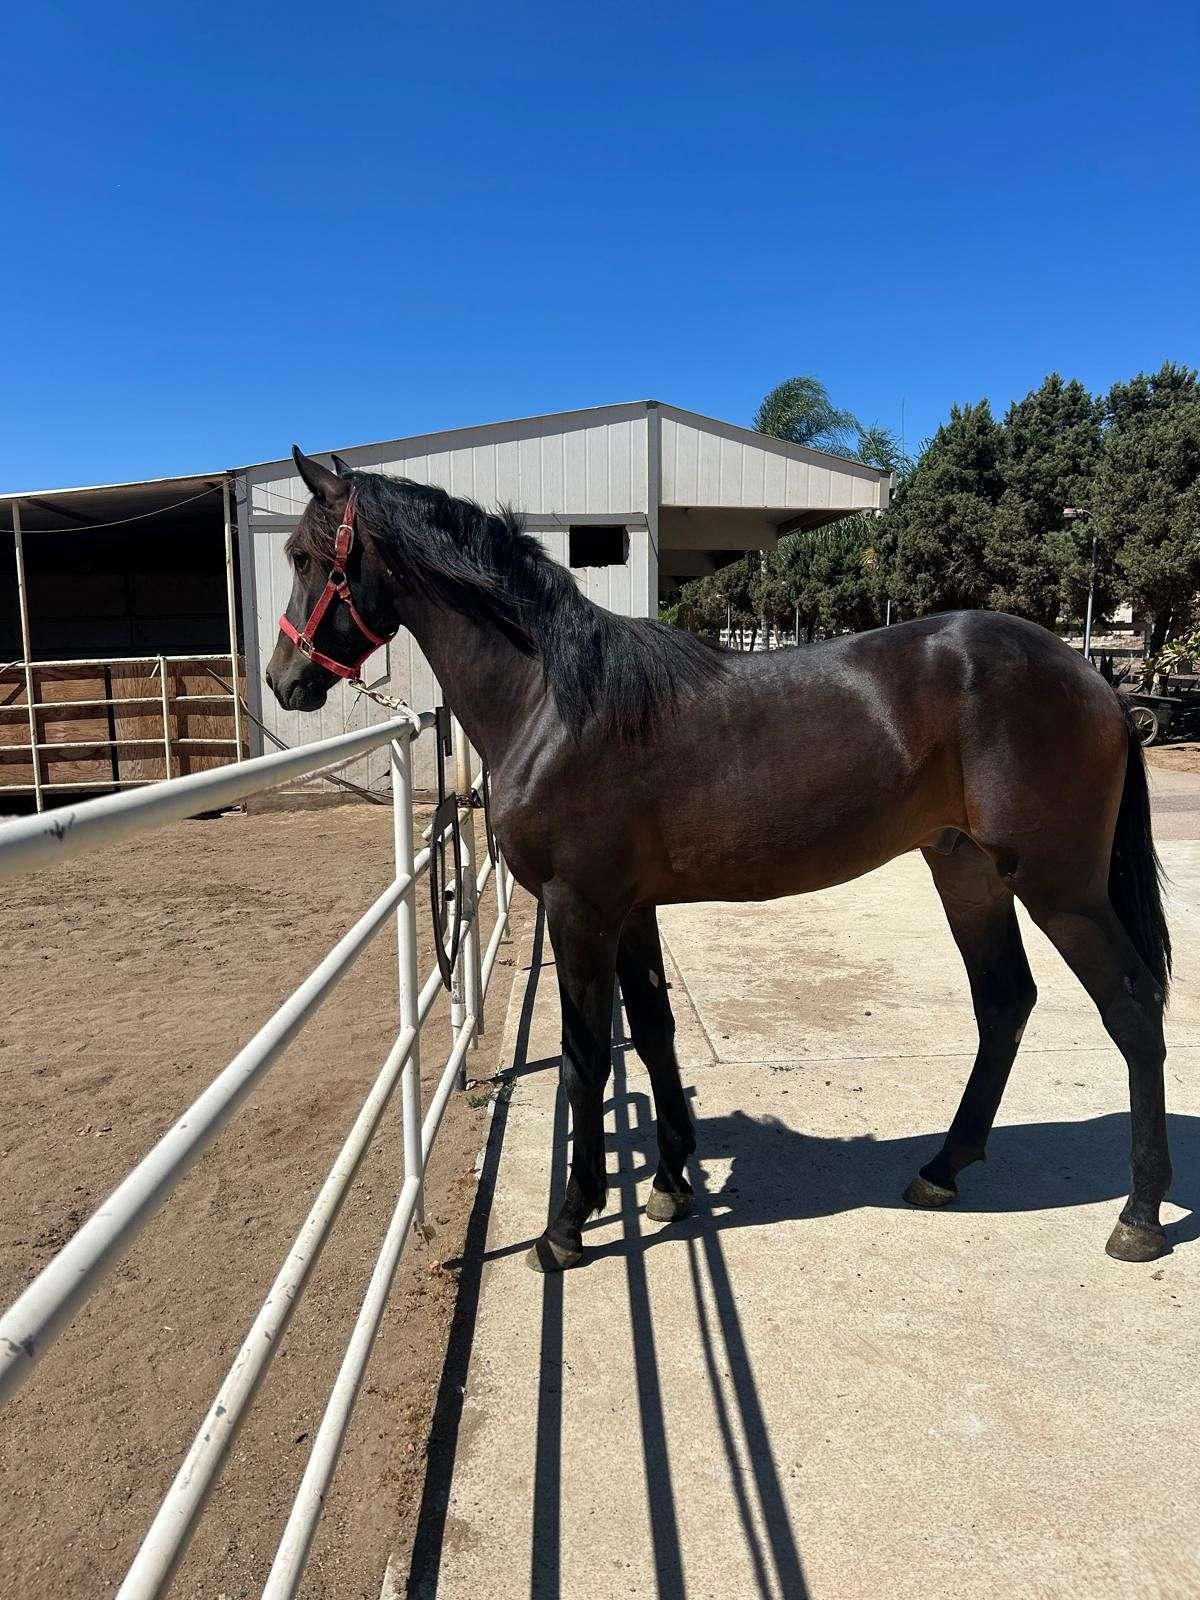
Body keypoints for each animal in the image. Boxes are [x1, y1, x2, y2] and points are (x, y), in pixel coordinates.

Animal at [266, 447, 1173, 1272]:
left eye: (306, 557)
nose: (283, 681)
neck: (552, 701)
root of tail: (1092, 677)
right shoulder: (629, 908)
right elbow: (654, 1032)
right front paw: (670, 1182)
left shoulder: (579, 909)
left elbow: (586, 1058)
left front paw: (568, 1225)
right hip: (966, 870)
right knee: (1005, 1001)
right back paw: (943, 1169)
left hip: (1059, 887)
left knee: (1132, 1008)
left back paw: (1138, 1215)